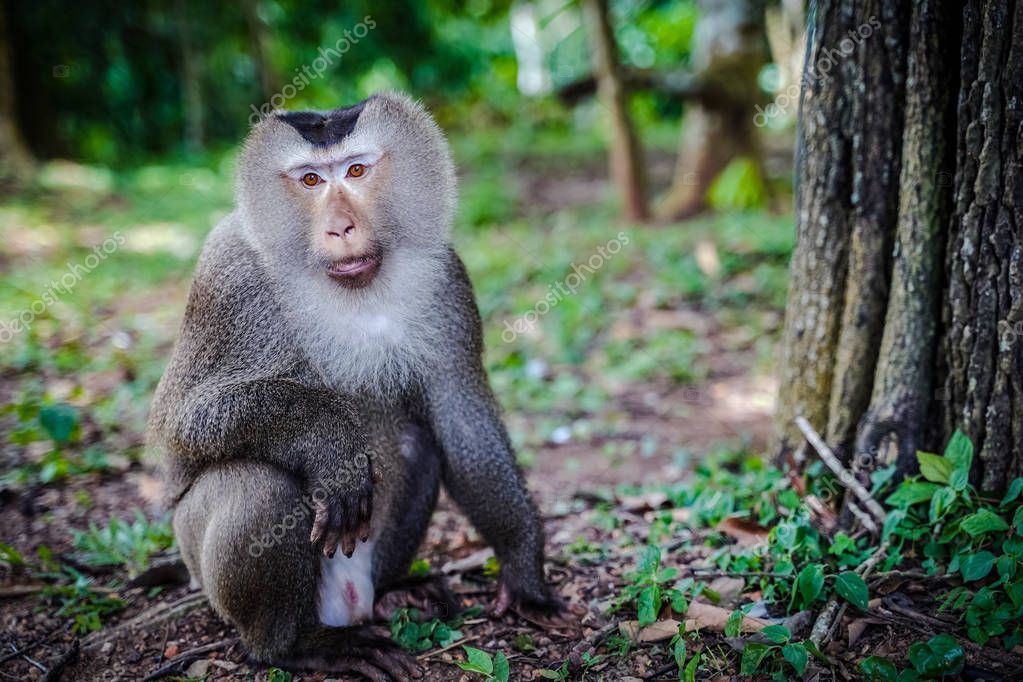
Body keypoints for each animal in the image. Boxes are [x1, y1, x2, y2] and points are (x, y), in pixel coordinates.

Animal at [147, 92, 568, 680]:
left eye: (356, 171)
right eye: (309, 180)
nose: (341, 228)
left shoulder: (447, 280)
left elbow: (461, 415)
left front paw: (525, 571)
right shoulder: (227, 279)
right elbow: (182, 421)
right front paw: (329, 442)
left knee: (420, 446)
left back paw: (394, 593)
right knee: (260, 486)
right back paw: (294, 645)